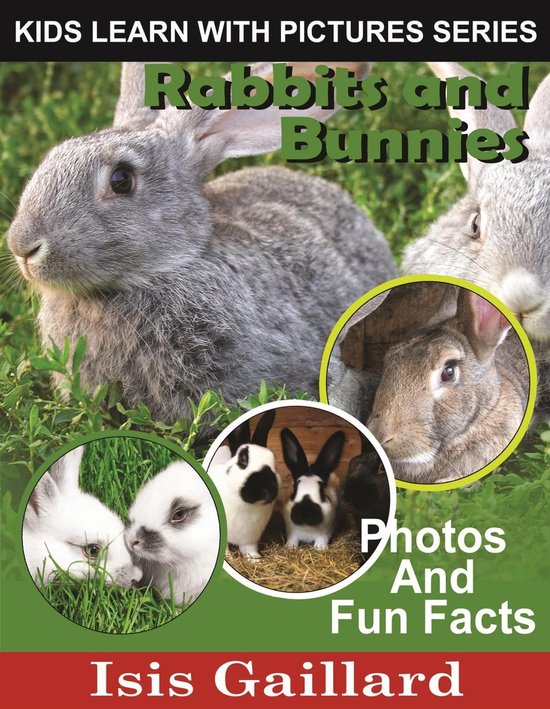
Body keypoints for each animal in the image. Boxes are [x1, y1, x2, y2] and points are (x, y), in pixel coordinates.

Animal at [208, 409, 279, 559]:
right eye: (243, 459)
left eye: (274, 460)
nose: (268, 491)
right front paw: (229, 558)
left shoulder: (250, 537)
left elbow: (249, 549)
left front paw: (256, 559)